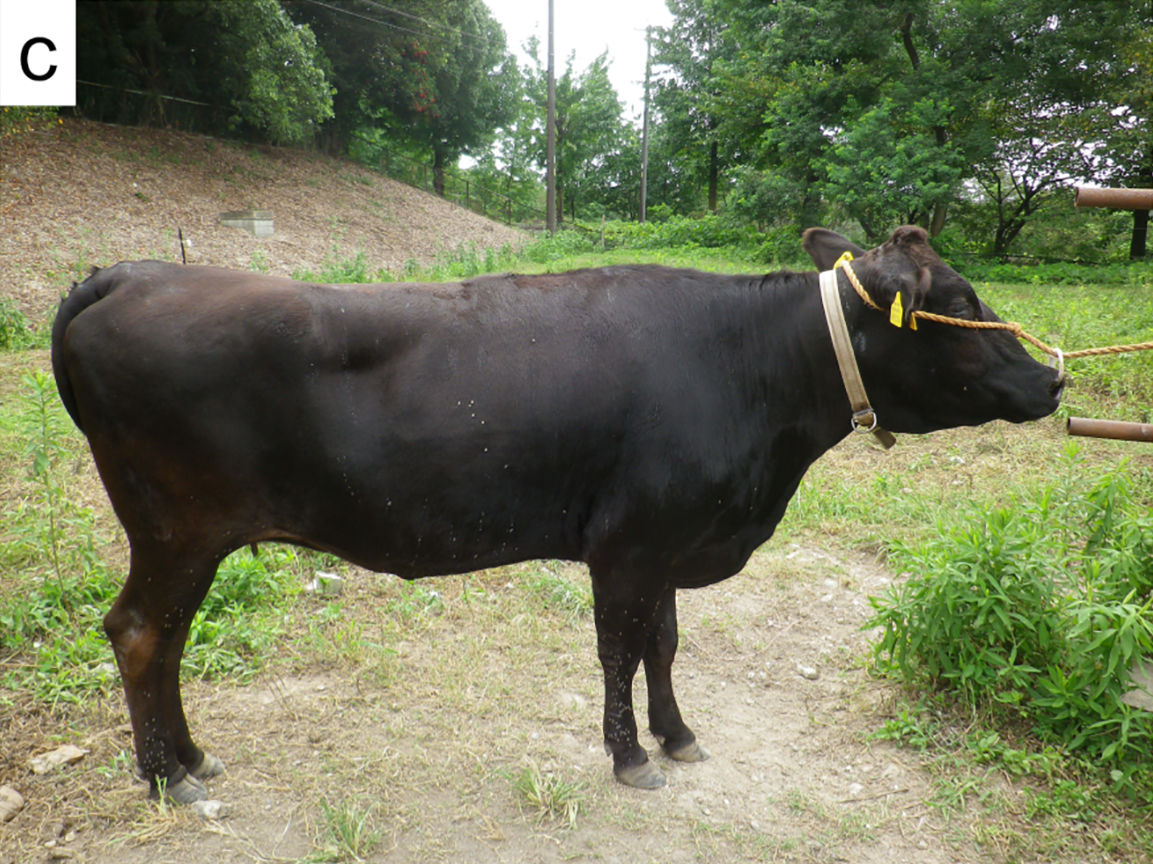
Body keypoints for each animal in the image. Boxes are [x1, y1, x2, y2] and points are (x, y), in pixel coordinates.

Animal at [50, 226, 1063, 803]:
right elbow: (617, 651)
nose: (1053, 378)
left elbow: (662, 644)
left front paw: (677, 735)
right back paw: (166, 777)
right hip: (178, 527)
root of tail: (129, 273)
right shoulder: (628, 542)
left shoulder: (669, 539)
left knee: (161, 640)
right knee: (141, 633)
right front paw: (629, 756)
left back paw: (188, 758)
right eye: (959, 302)